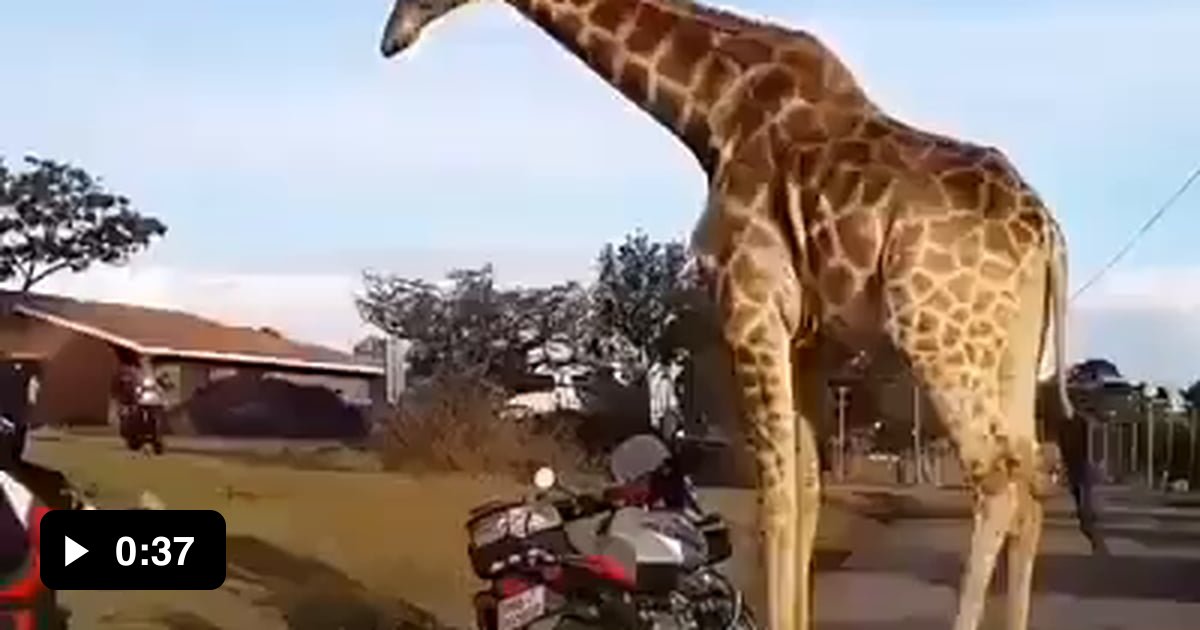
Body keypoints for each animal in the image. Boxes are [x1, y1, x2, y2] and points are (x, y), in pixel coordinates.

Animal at [379, 1, 1075, 629]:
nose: (391, 39)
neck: (710, 110)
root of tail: (1046, 231)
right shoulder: (807, 340)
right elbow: (808, 489)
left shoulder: (750, 307)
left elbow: (775, 502)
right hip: (1009, 345)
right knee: (1031, 474)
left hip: (936, 333)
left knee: (995, 478)